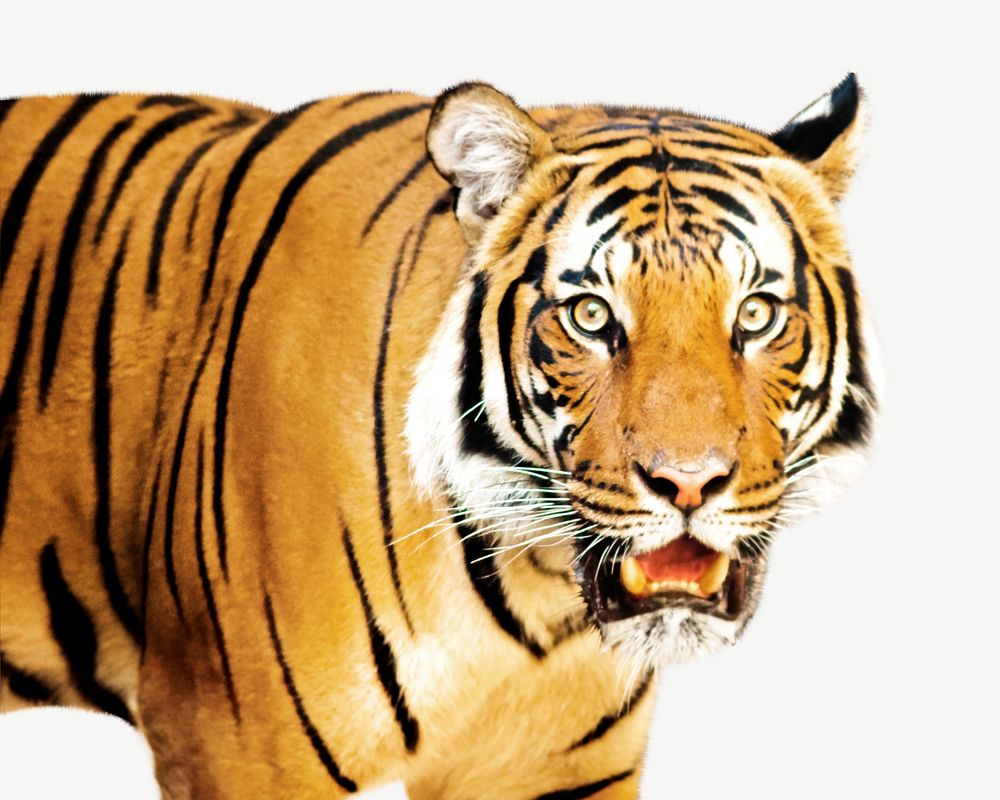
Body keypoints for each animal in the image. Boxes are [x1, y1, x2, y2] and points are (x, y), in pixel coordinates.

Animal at [0, 75, 877, 799]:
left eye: (755, 314)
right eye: (591, 316)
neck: (535, 598)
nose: (689, 482)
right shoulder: (234, 749)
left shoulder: (556, 771)